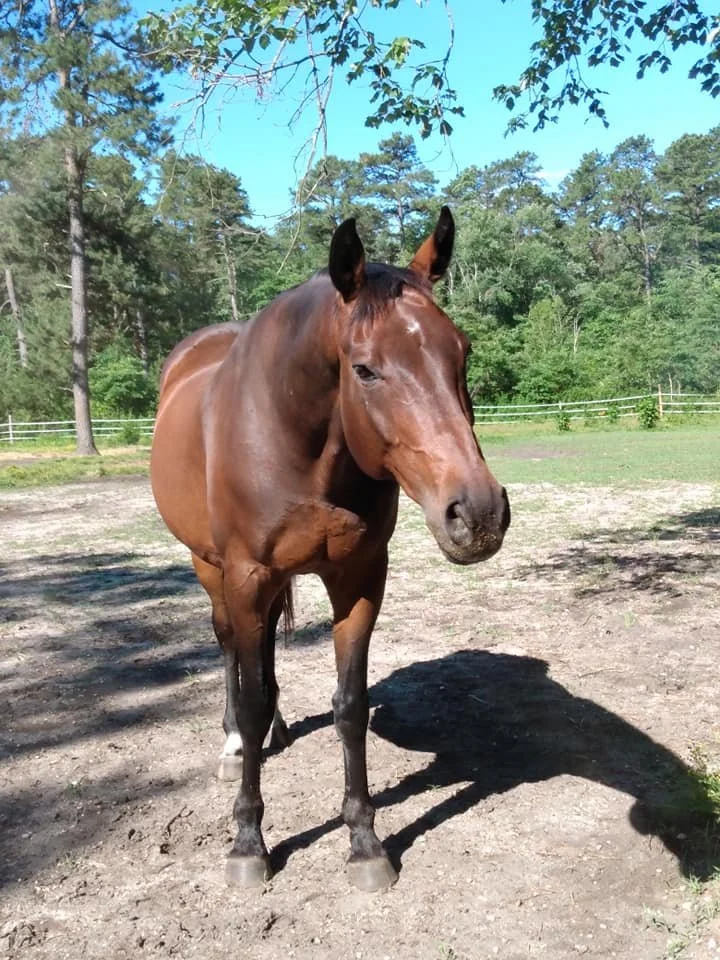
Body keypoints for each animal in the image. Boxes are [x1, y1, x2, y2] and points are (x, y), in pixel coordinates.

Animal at [150, 207, 510, 891]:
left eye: (463, 352)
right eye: (364, 368)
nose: (478, 514)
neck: (294, 438)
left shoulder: (360, 577)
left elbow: (350, 705)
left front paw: (365, 842)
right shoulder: (247, 573)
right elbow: (251, 693)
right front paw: (248, 842)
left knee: (261, 647)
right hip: (212, 569)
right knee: (231, 649)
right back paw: (236, 746)